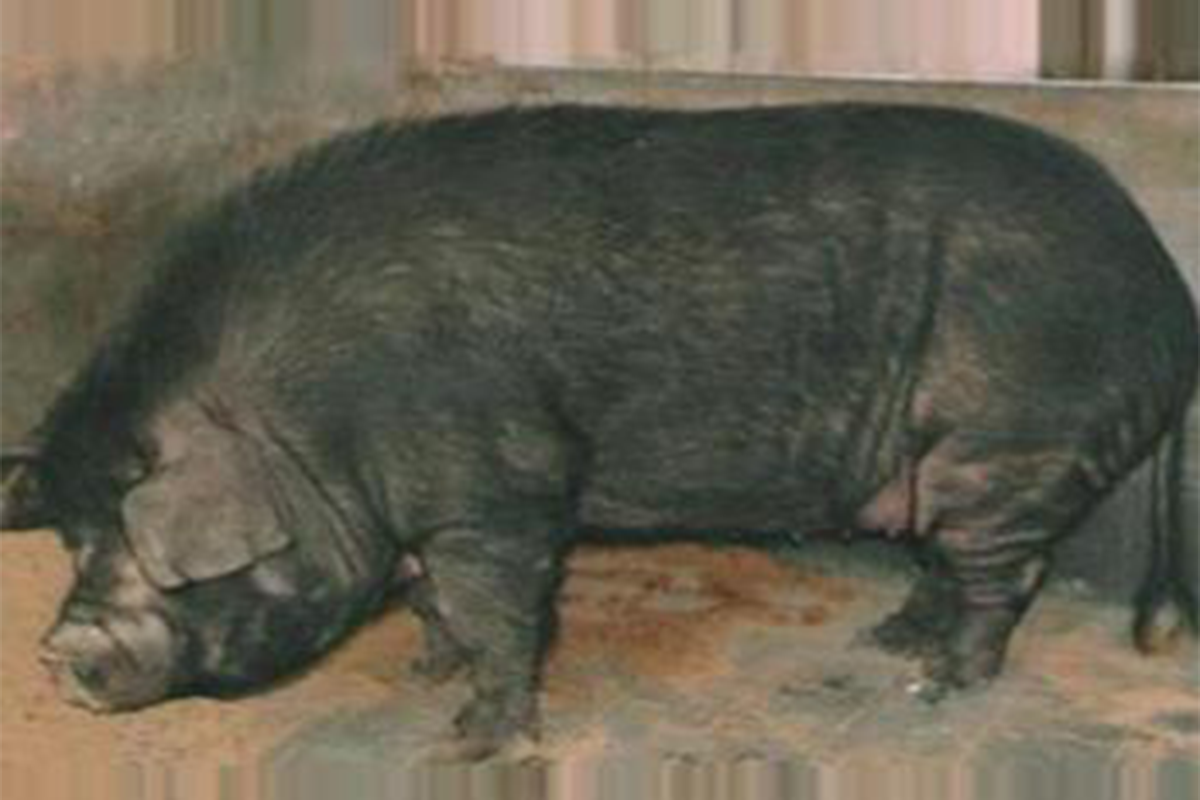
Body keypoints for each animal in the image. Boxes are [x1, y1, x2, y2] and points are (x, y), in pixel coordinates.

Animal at [2, 103, 1197, 757]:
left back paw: (936, 683)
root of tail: (1167, 292)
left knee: (1003, 574)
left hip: (1011, 444)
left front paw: (473, 740)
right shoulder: (429, 509)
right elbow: (434, 600)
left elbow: (497, 607)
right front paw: (423, 674)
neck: (301, 420)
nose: (58, 650)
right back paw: (887, 644)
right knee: (943, 562)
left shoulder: (498, 485)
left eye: (137, 544)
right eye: (70, 537)